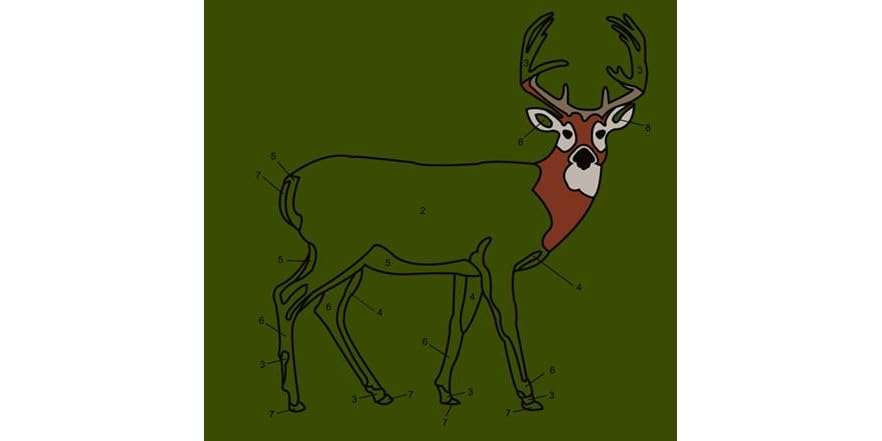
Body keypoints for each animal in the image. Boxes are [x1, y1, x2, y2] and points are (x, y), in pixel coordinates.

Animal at [271, 11, 647, 413]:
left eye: (602, 131)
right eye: (564, 131)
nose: (584, 157)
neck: (542, 199)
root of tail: (293, 180)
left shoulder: (469, 266)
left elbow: (459, 322)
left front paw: (445, 391)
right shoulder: (499, 255)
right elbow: (507, 320)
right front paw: (527, 396)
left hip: (346, 255)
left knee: (325, 306)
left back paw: (378, 390)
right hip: (336, 246)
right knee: (291, 298)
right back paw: (296, 398)